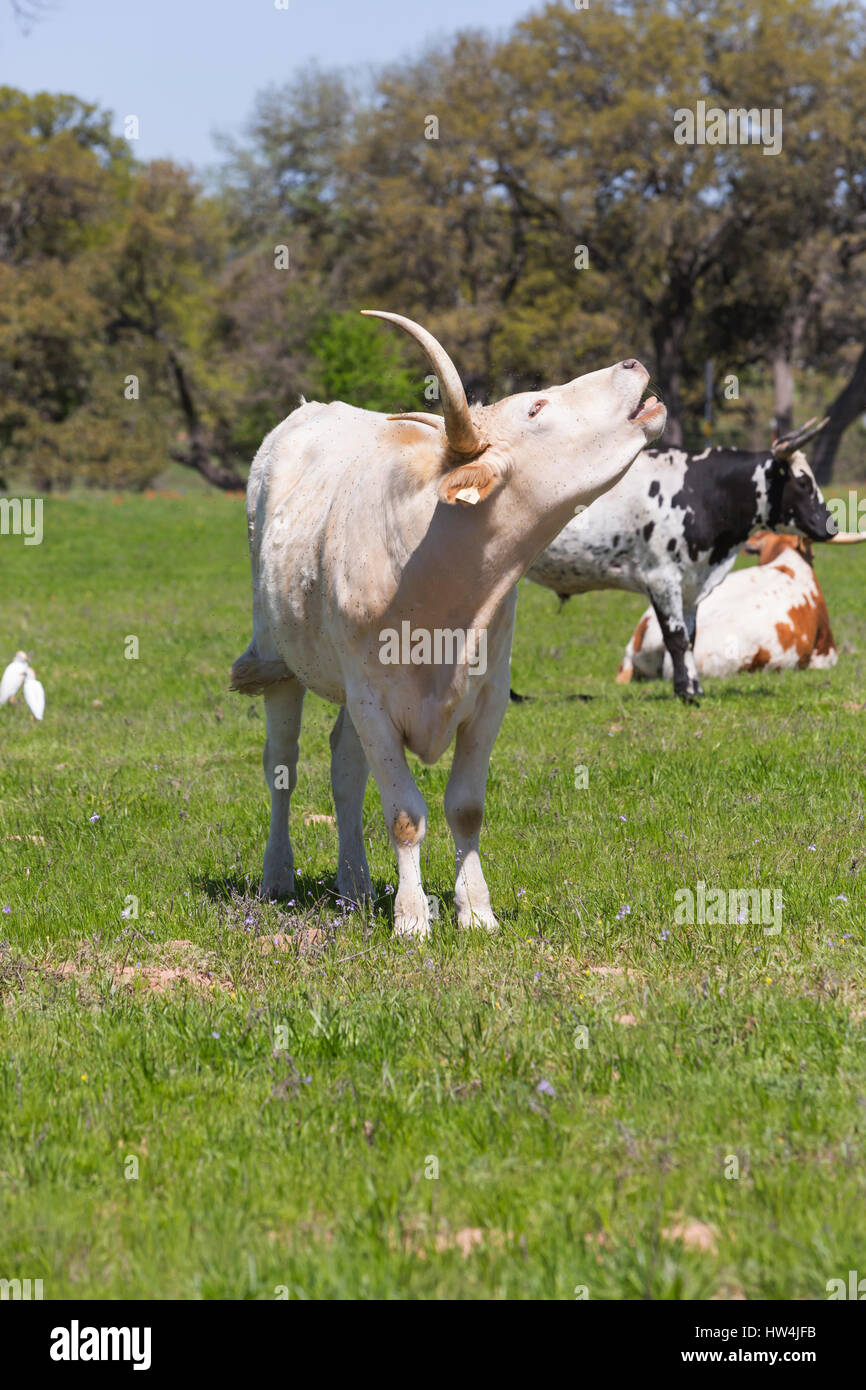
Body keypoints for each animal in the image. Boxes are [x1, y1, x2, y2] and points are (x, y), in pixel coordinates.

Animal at [230, 311, 665, 938]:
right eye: (536, 408)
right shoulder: (373, 703)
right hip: (279, 662)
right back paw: (277, 876)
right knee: (281, 766)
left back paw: (355, 885)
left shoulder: (487, 700)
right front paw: (412, 920)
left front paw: (475, 910)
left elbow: (464, 807)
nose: (631, 362)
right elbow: (405, 814)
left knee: (344, 770)